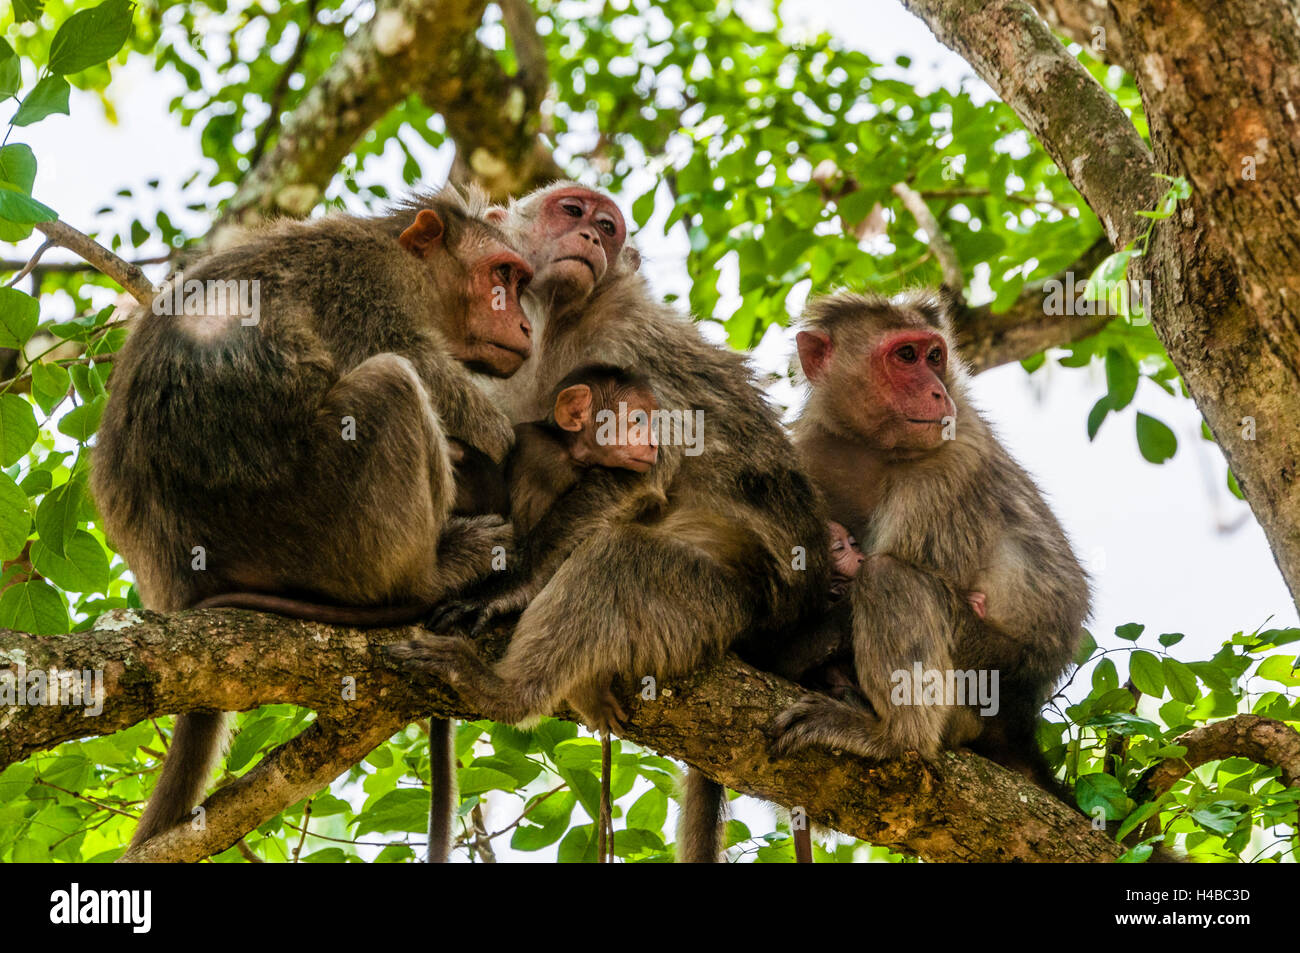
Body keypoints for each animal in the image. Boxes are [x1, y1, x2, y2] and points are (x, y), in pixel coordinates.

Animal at [92, 186, 534, 858]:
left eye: (518, 278)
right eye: (501, 276)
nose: (527, 324)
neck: (409, 263)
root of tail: (178, 582)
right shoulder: (371, 296)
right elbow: (458, 404)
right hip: (323, 518)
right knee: (391, 383)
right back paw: (441, 568)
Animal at [389, 182, 832, 863]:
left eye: (608, 226)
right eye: (572, 212)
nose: (592, 236)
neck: (556, 324)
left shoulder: (632, 345)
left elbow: (646, 471)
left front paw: (508, 588)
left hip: (721, 604)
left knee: (620, 559)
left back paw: (504, 691)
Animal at [770, 289, 1090, 799]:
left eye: (934, 356)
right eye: (906, 356)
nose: (939, 391)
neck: (870, 445)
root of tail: (1021, 720)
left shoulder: (948, 465)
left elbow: (866, 584)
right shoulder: (809, 450)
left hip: (986, 675)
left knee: (890, 578)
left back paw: (894, 739)